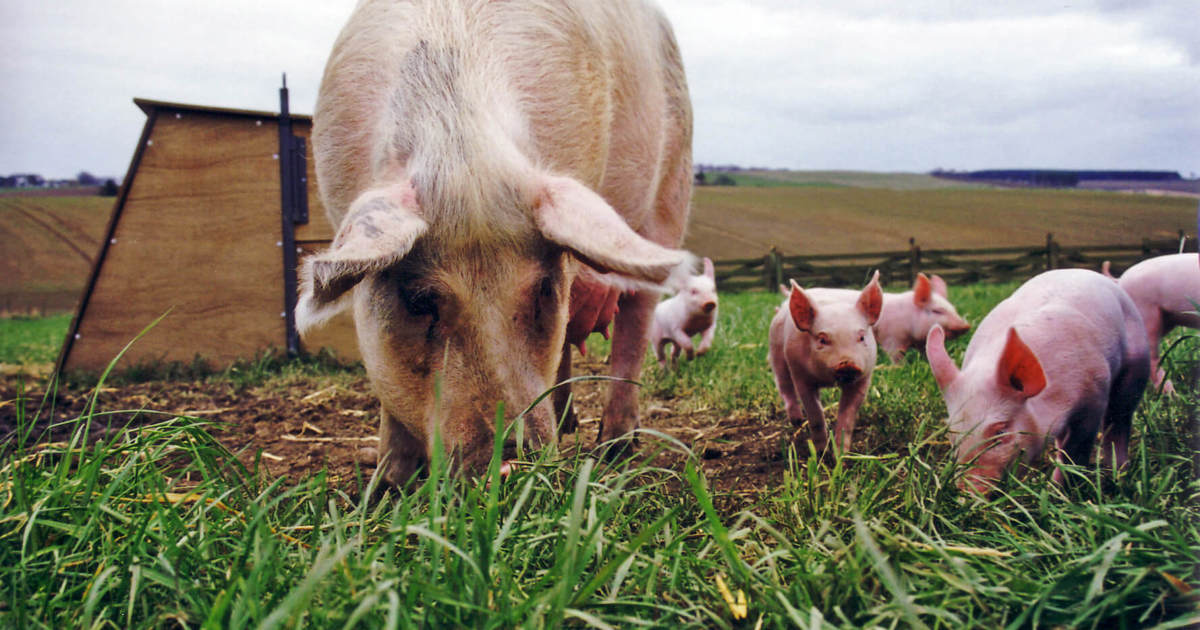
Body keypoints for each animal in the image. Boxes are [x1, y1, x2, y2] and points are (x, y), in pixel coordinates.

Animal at [296, 0, 695, 485]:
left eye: (543, 288)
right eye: (419, 299)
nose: (508, 465)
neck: (459, 147)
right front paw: (386, 486)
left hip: (671, 186)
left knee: (636, 317)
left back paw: (614, 448)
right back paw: (567, 424)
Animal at [768, 271, 883, 453]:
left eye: (862, 337)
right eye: (822, 339)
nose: (848, 363)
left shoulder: (864, 378)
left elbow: (847, 417)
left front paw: (841, 455)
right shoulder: (800, 375)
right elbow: (815, 413)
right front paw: (820, 451)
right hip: (776, 351)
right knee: (784, 386)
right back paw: (797, 421)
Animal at [926, 269, 1150, 493]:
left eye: (1000, 431)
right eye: (952, 435)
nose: (970, 491)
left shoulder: (1095, 396)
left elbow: (1076, 450)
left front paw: (1056, 491)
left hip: (1137, 365)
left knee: (1119, 419)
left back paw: (1119, 477)